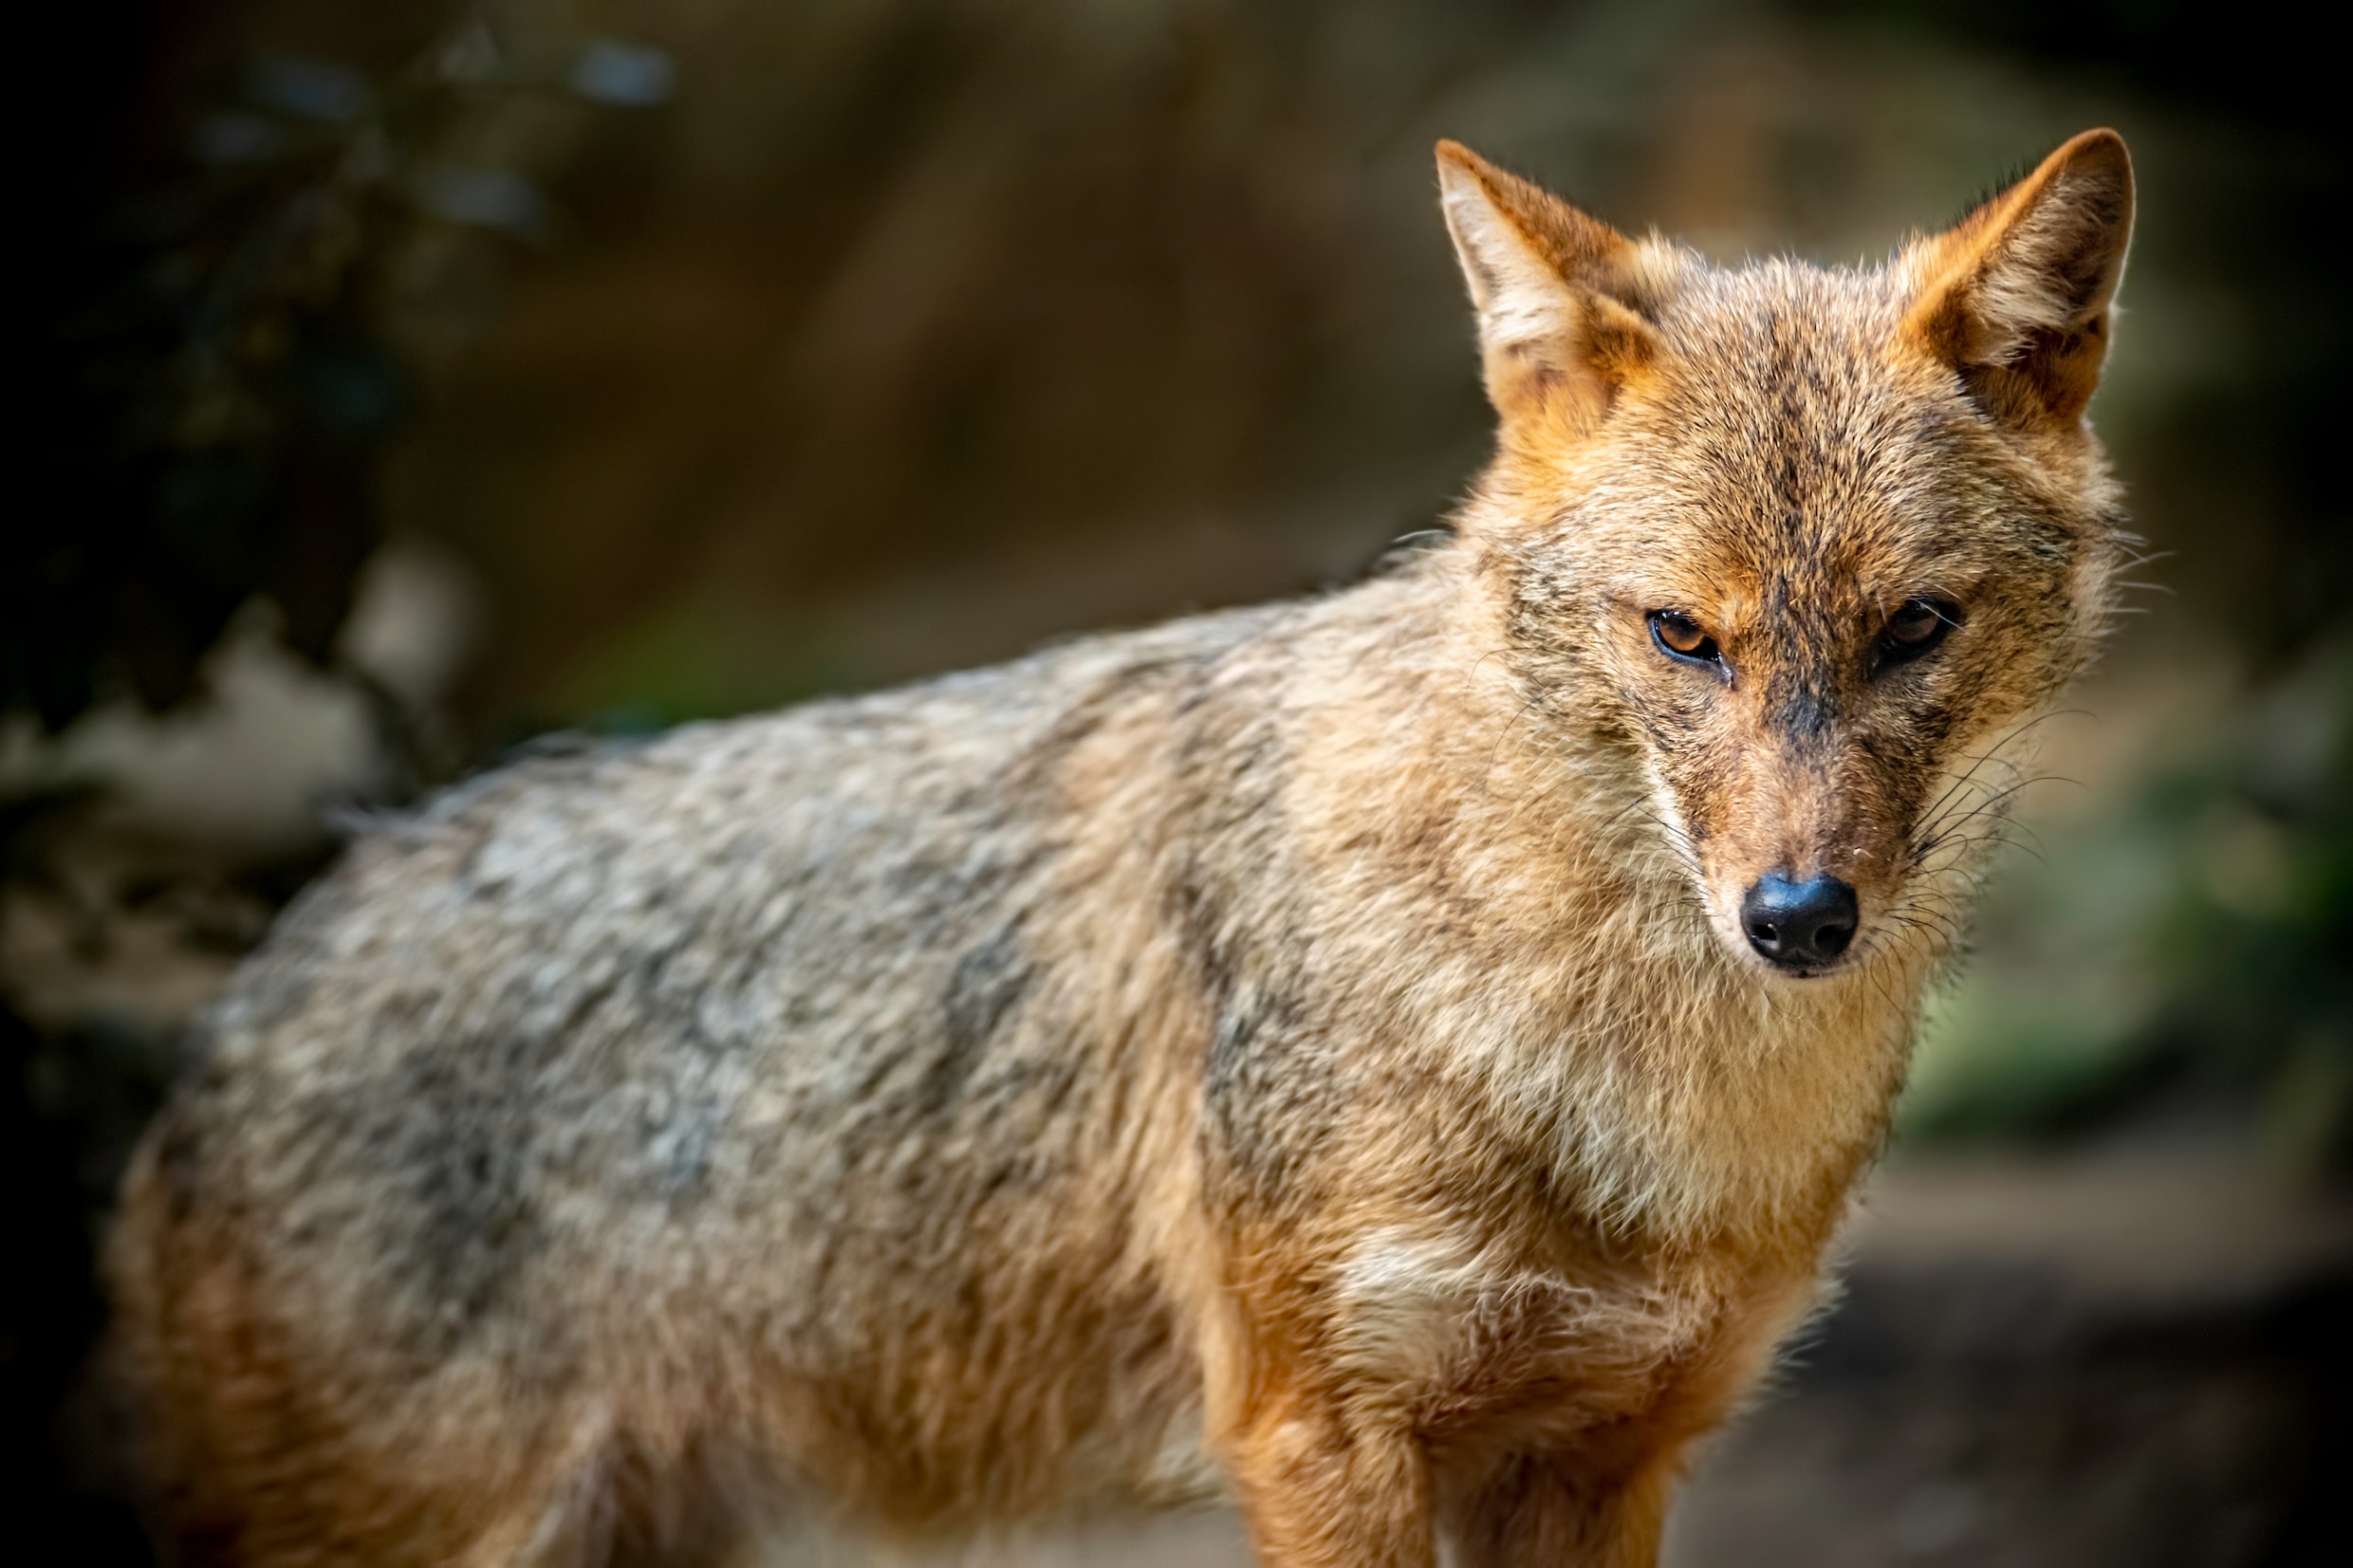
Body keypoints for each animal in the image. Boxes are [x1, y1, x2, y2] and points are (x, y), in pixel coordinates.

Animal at [108, 128, 2134, 1566]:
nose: (1798, 916)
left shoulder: (1601, 1455)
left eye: (1913, 630)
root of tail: (250, 990)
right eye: (1682, 637)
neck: (1643, 1102)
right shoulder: (1320, 1437)